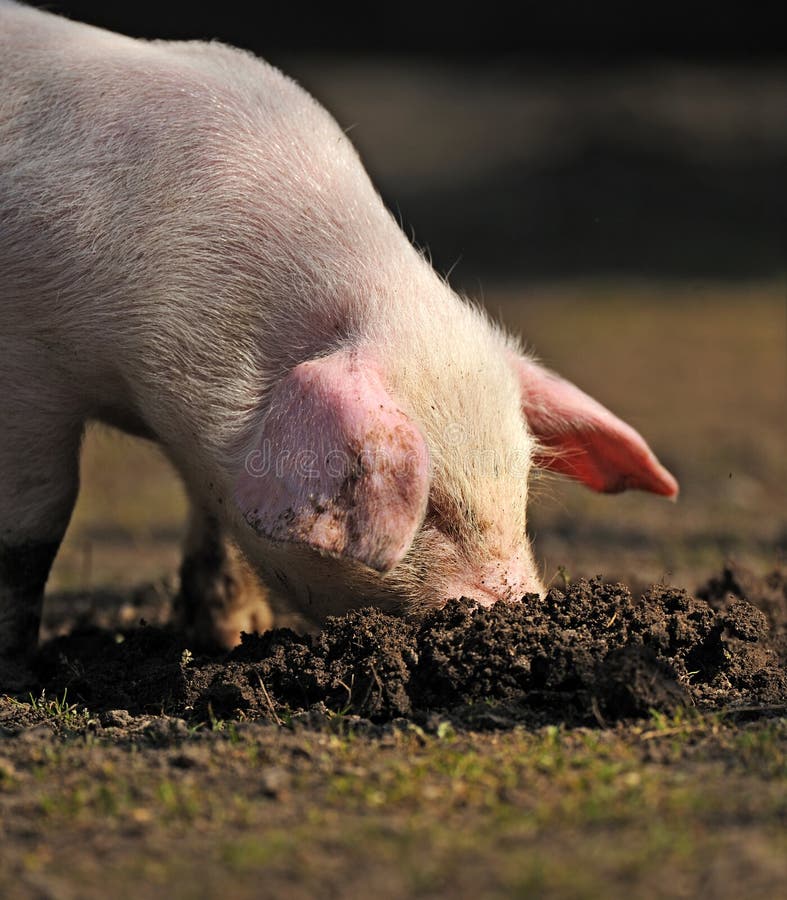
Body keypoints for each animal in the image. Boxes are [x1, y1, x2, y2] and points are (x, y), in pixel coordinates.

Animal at [0, 0, 678, 660]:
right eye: (428, 508)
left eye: (520, 489)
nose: (516, 606)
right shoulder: (27, 372)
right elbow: (37, 515)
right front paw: (22, 668)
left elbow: (215, 515)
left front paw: (229, 637)